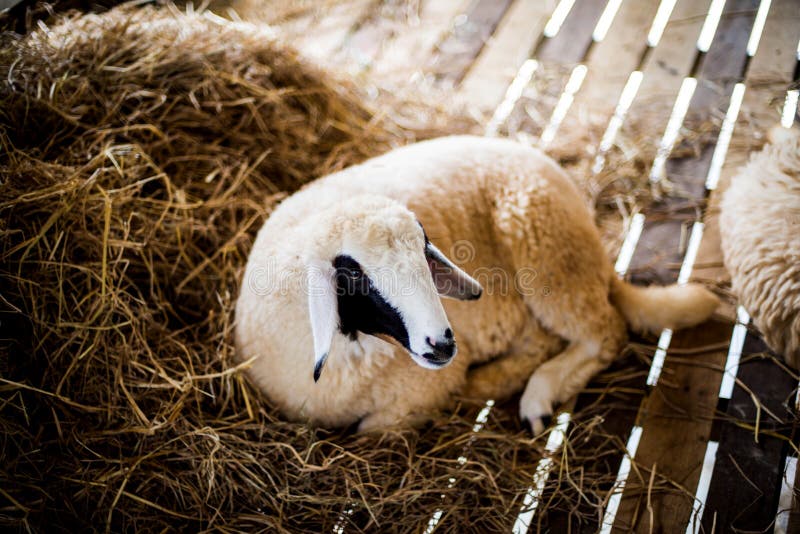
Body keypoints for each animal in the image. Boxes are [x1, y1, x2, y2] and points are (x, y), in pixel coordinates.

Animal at [235, 135, 720, 433]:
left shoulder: (413, 396)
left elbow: (372, 429)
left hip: (547, 251)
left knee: (605, 332)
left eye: (424, 250)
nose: (443, 343)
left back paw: (535, 395)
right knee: (547, 339)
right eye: (355, 275)